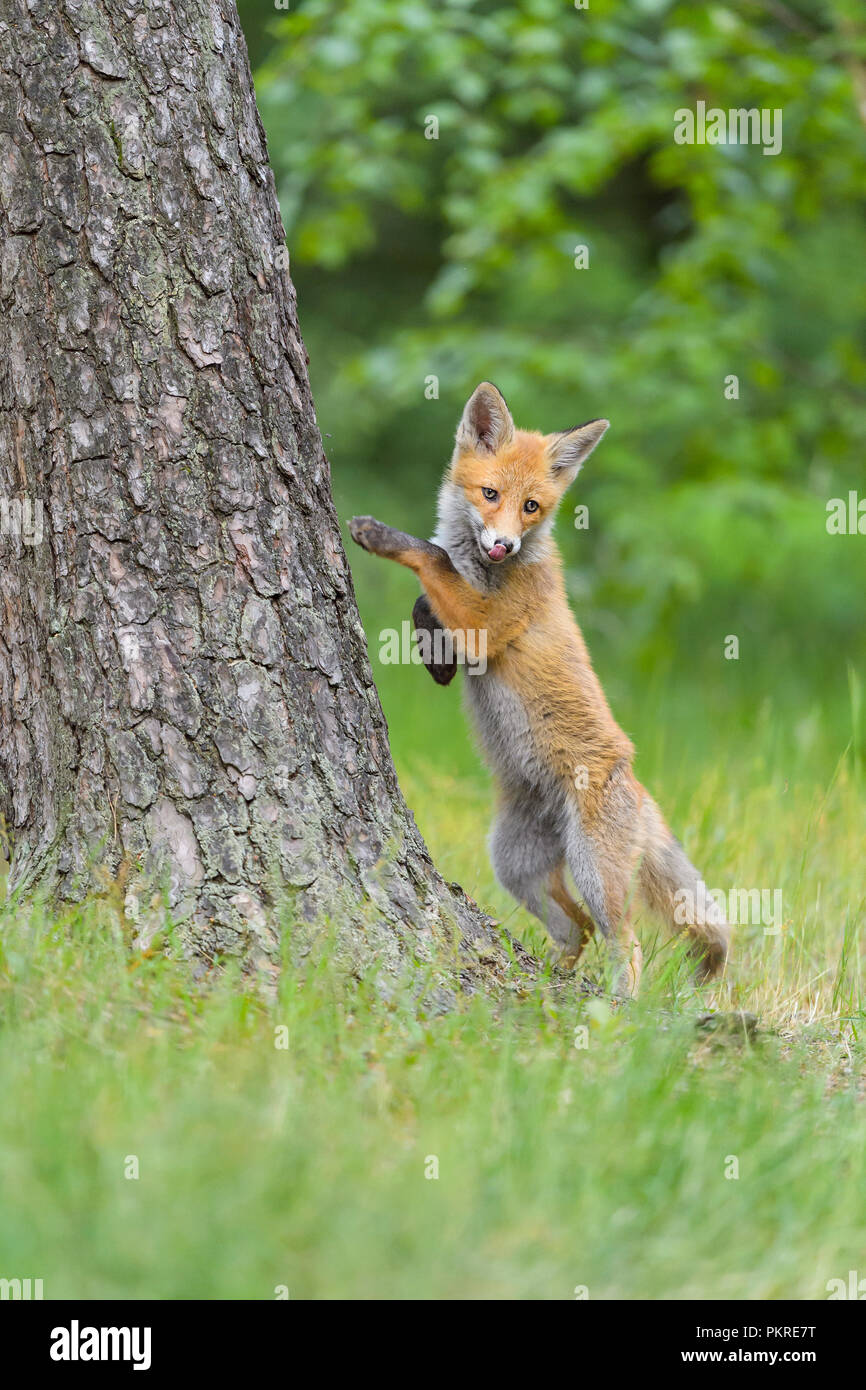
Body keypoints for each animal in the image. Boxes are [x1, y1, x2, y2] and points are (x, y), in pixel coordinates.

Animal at [349, 382, 730, 997]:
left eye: (531, 507)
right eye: (490, 494)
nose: (503, 546)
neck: (488, 569)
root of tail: (635, 780)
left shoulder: (484, 626)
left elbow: (432, 558)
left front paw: (381, 536)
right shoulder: (462, 624)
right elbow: (426, 600)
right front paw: (431, 649)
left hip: (593, 871)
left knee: (625, 942)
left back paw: (616, 1005)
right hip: (515, 862)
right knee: (577, 928)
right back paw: (551, 981)